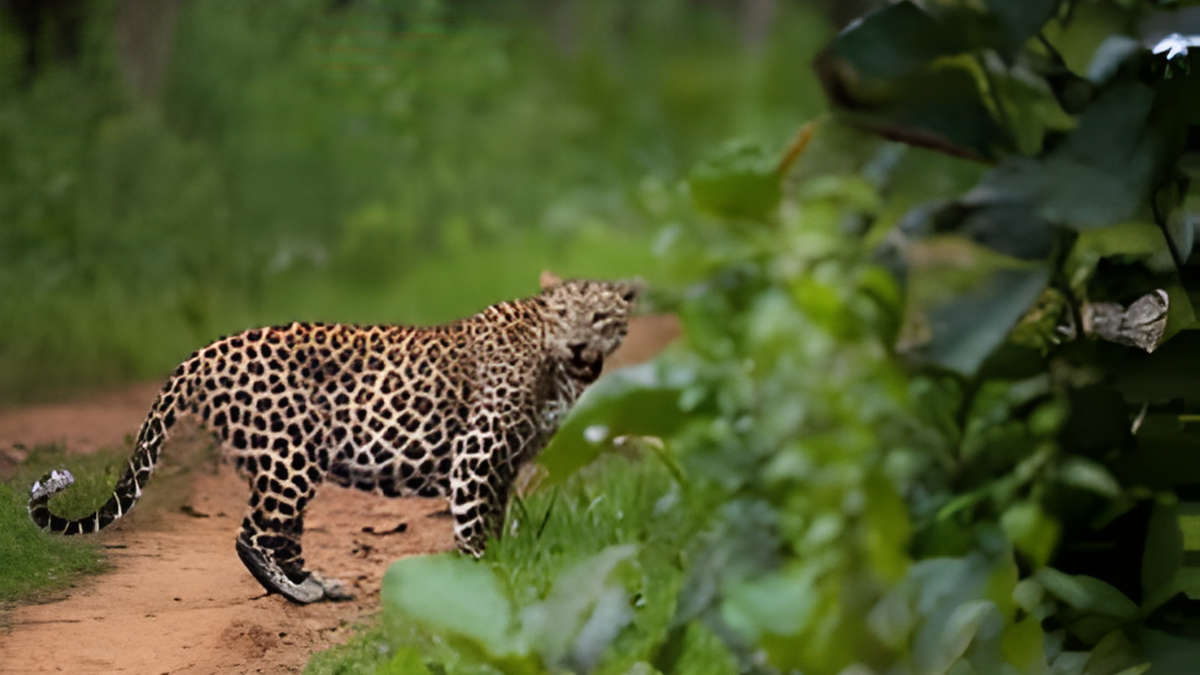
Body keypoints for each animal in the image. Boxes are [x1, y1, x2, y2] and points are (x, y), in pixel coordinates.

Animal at [28, 275, 637, 604]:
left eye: (601, 318)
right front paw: (482, 581)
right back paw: (298, 592)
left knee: (282, 535)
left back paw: (320, 583)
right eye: (566, 315)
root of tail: (206, 351)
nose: (579, 345)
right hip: (288, 455)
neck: (557, 367)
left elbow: (497, 520)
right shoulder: (477, 454)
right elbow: (473, 528)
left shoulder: (506, 465)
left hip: (284, 458)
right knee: (251, 535)